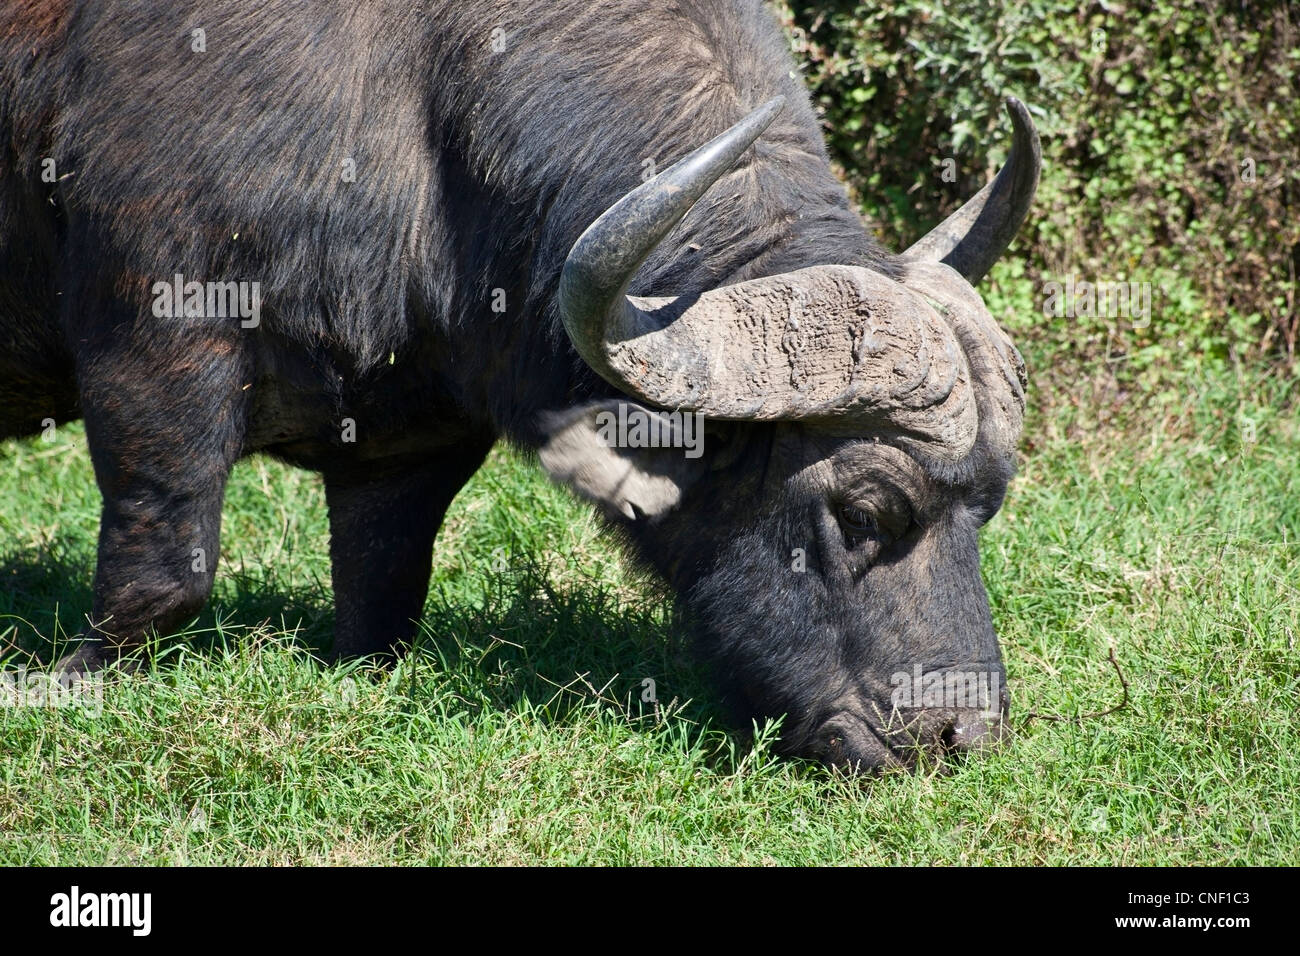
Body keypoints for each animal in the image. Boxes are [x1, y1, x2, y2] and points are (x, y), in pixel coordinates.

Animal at [0, 0, 1038, 771]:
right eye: (865, 511)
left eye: (989, 509)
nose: (961, 735)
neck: (413, 111)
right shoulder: (155, 342)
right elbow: (163, 569)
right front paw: (67, 678)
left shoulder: (413, 439)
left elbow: (385, 590)